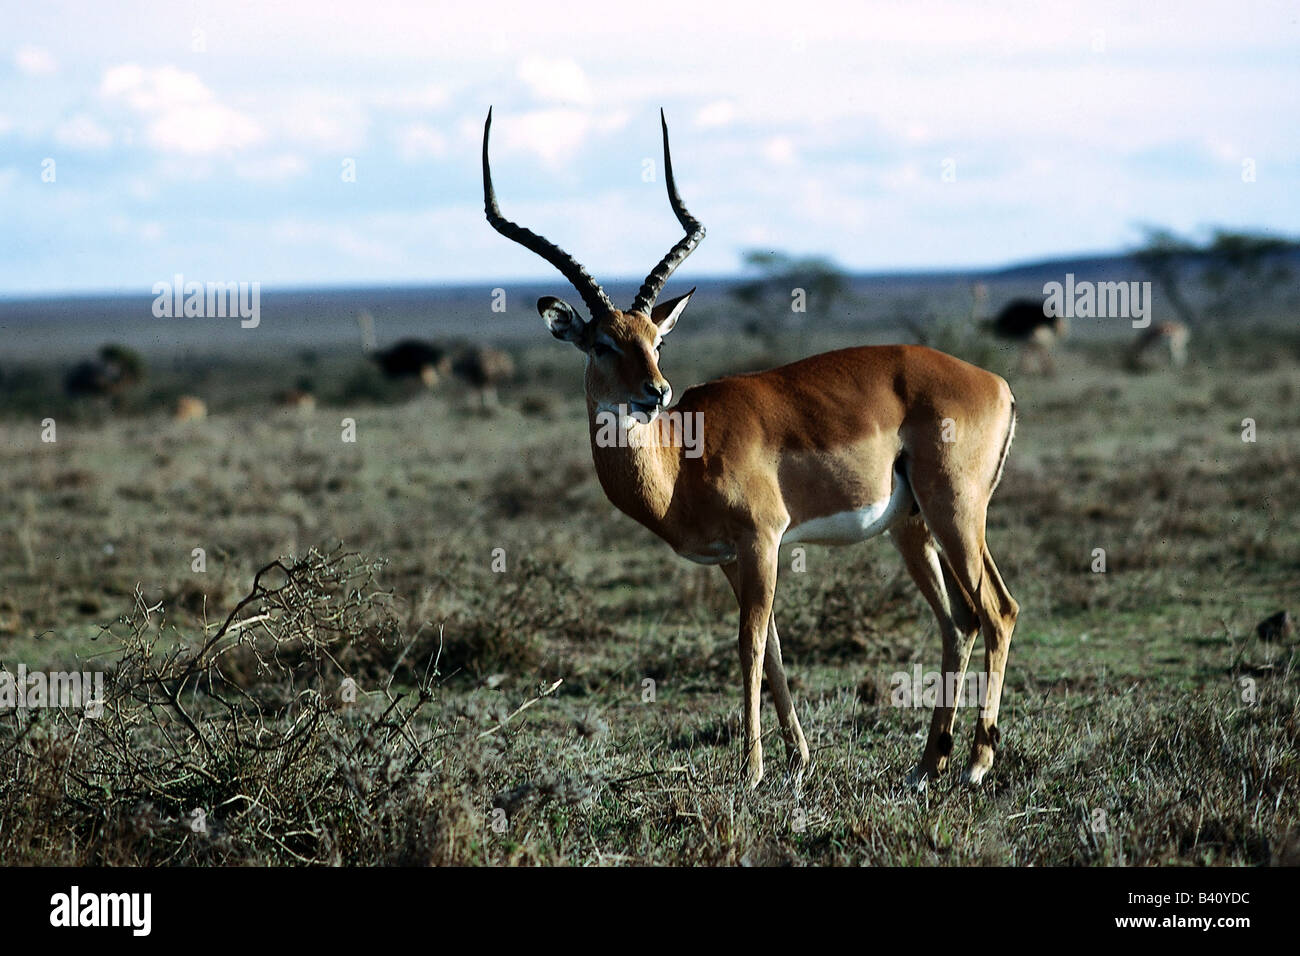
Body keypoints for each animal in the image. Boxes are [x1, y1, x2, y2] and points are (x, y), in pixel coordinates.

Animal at [483, 108, 1020, 789]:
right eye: (603, 343)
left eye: (656, 338)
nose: (656, 392)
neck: (681, 459)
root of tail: (995, 382)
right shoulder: (732, 558)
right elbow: (776, 650)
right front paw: (798, 760)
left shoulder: (763, 540)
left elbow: (750, 645)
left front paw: (752, 768)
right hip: (913, 525)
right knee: (959, 622)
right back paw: (927, 765)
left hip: (957, 512)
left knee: (998, 612)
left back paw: (975, 763)